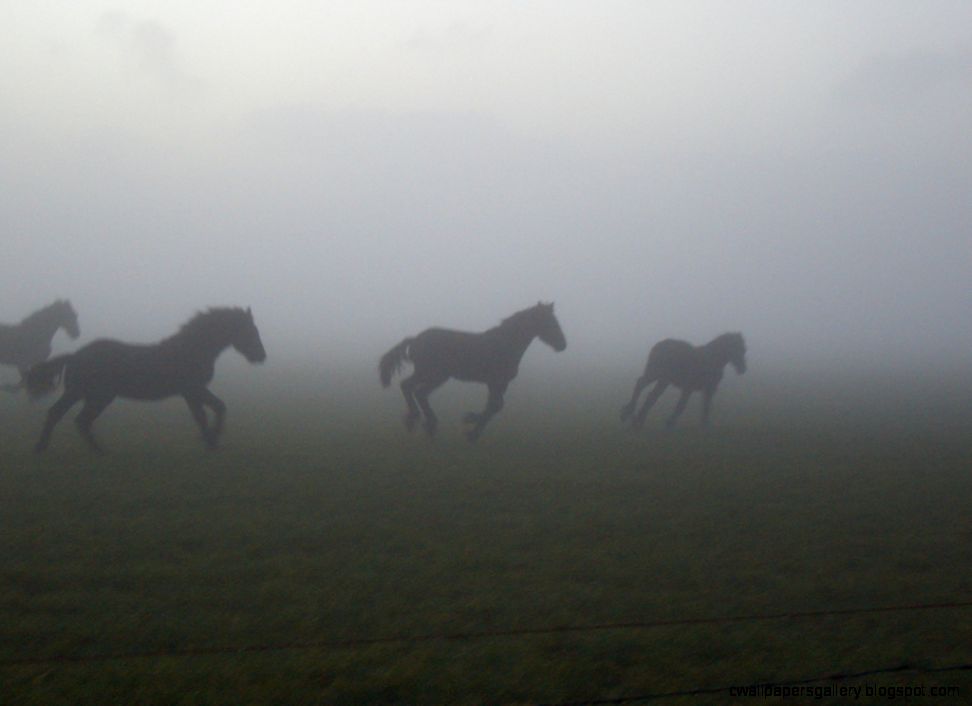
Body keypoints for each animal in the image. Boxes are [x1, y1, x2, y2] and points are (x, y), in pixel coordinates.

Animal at [27, 307, 266, 453]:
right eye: (250, 331)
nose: (261, 356)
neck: (191, 349)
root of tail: (75, 355)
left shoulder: (192, 392)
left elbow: (212, 410)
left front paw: (212, 440)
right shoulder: (192, 390)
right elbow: (208, 412)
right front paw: (212, 441)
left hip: (85, 394)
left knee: (68, 417)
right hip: (94, 395)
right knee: (75, 418)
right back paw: (94, 450)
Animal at [379, 302, 566, 441]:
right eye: (550, 322)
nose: (562, 345)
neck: (505, 343)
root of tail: (415, 340)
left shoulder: (500, 384)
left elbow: (496, 406)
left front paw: (471, 420)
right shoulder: (495, 382)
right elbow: (494, 406)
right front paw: (472, 431)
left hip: (432, 375)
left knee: (413, 389)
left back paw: (421, 422)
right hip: (434, 374)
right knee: (413, 389)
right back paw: (423, 422)